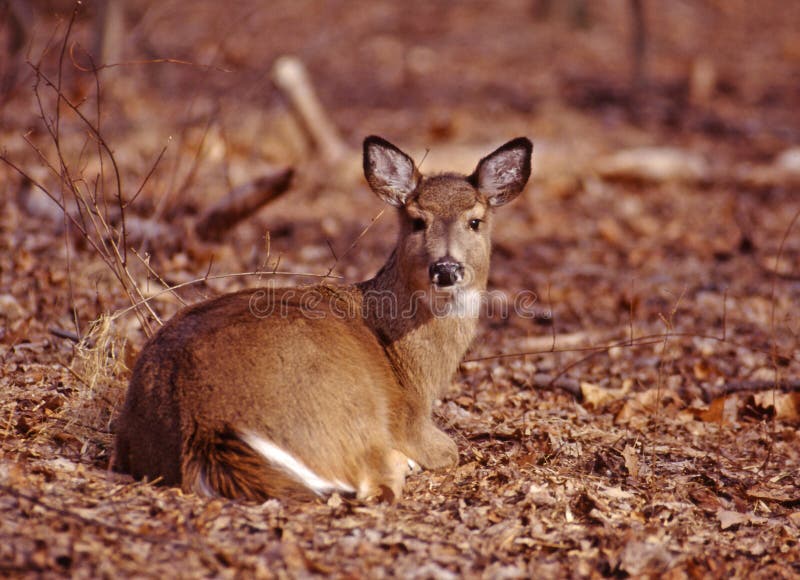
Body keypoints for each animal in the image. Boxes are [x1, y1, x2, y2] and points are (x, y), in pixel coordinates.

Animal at [112, 135, 533, 502]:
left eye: (475, 221)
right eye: (417, 221)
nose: (446, 269)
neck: (410, 367)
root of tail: (204, 427)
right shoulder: (411, 423)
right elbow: (449, 451)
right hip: (348, 407)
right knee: (375, 481)